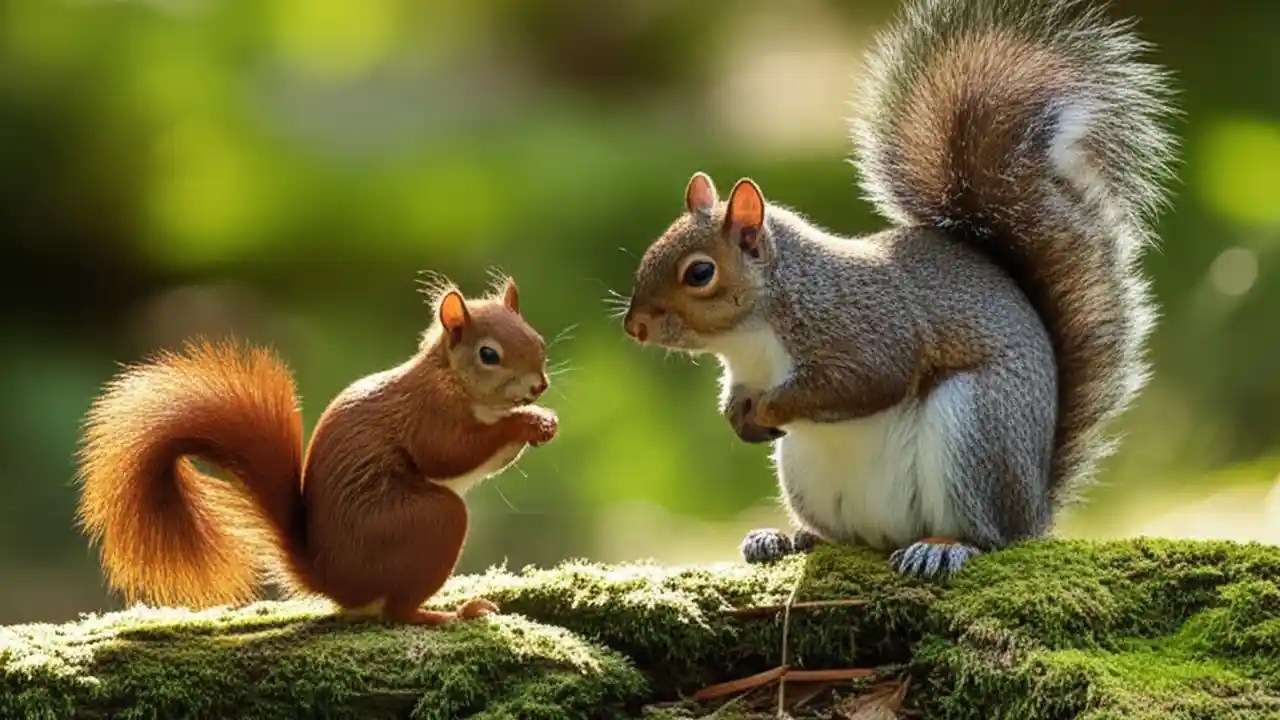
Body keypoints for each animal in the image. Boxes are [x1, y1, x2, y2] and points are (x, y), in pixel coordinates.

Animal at [76, 276, 558, 623]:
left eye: (538, 340)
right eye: (489, 355)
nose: (539, 386)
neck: (451, 379)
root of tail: (332, 581)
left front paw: (542, 421)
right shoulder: (428, 415)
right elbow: (448, 453)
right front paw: (524, 421)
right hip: (429, 523)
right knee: (396, 612)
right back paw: (451, 614)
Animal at [622, 0, 1176, 578]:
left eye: (699, 274)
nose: (633, 326)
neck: (755, 332)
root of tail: (1034, 510)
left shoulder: (864, 328)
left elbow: (868, 379)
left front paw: (772, 409)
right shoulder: (746, 369)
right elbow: (740, 395)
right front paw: (736, 416)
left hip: (976, 430)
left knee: (990, 536)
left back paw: (946, 546)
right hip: (807, 472)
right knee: (842, 537)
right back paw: (784, 539)